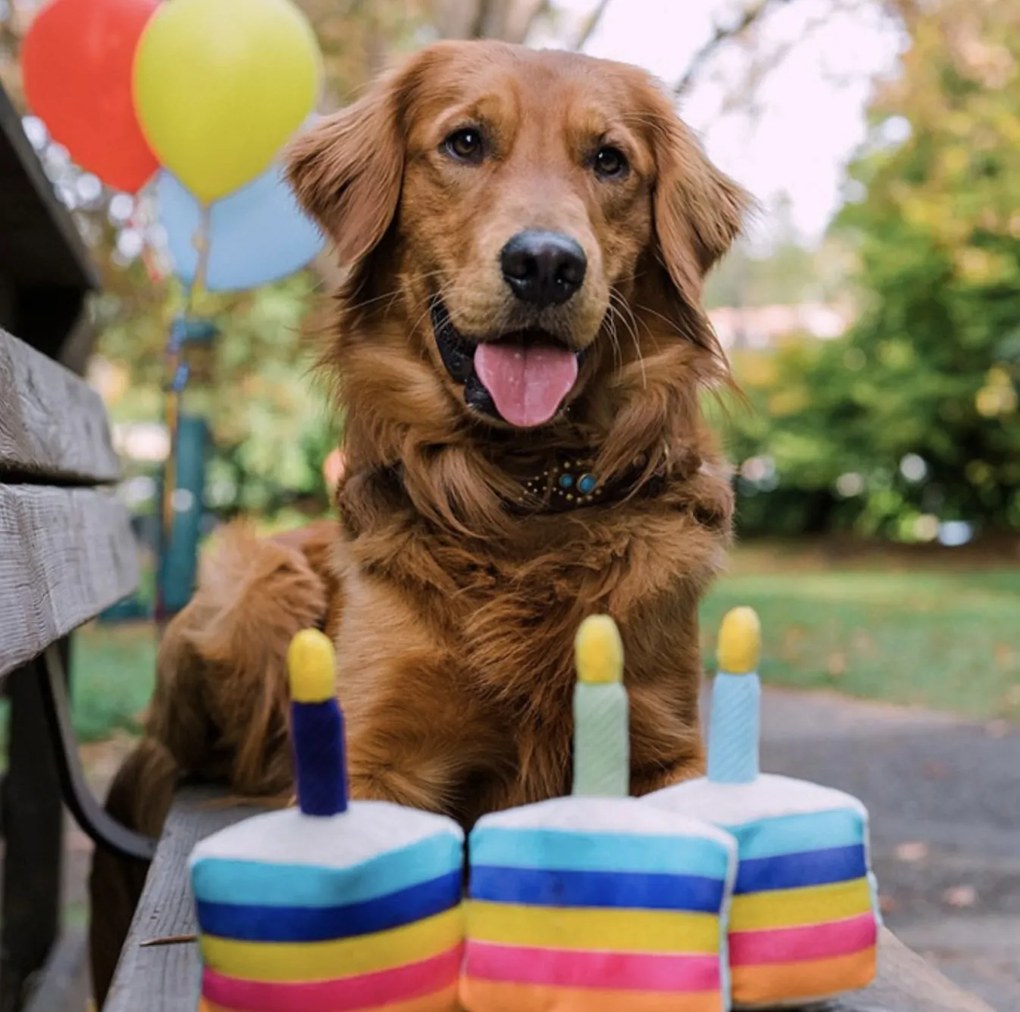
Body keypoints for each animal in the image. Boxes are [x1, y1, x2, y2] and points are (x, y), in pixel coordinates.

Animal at [91, 37, 746, 995]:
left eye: (609, 161)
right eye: (465, 142)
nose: (546, 264)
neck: (523, 498)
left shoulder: (666, 745)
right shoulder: (373, 760)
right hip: (255, 588)